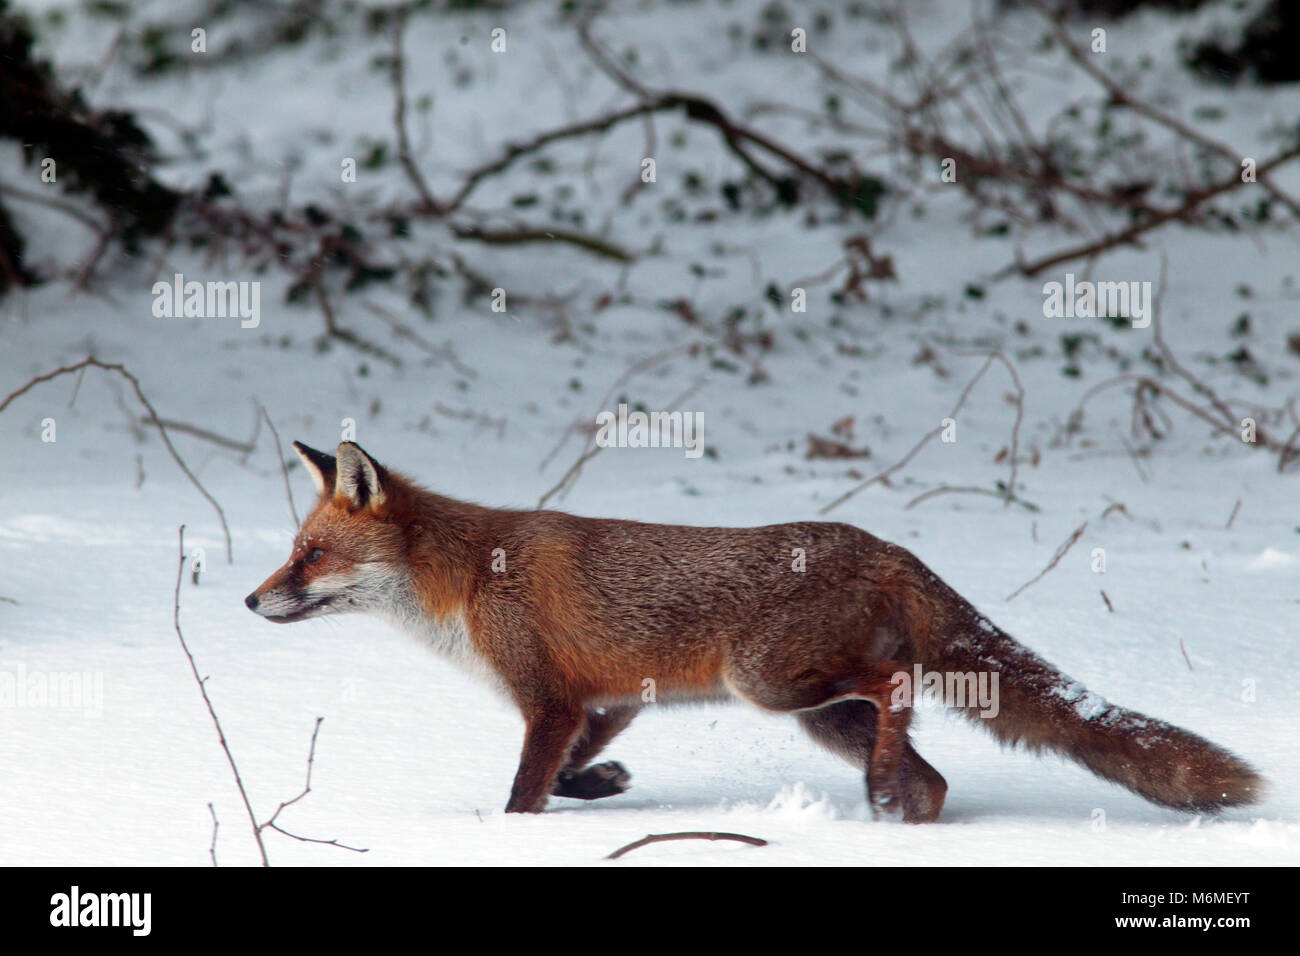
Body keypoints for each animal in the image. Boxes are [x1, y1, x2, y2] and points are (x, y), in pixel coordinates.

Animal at [246, 440, 1264, 822]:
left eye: (308, 554)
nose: (251, 604)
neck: (463, 584)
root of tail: (886, 544)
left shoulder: (547, 700)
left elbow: (525, 791)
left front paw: (517, 833)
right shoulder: (605, 698)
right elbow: (575, 768)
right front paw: (603, 785)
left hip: (768, 683)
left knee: (898, 683)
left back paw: (886, 793)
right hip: (816, 714)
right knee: (929, 772)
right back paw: (899, 817)